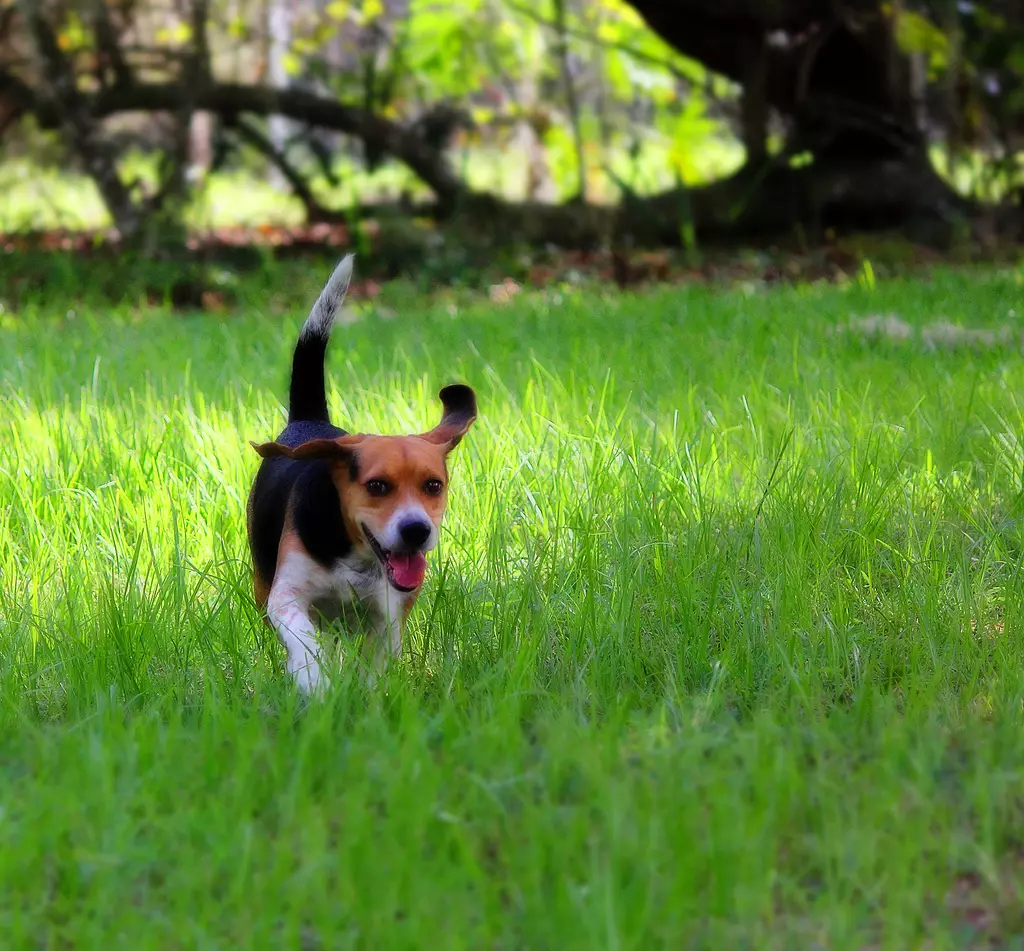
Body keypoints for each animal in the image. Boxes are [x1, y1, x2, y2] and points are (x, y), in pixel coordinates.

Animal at [247, 260, 475, 692]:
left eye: (433, 485)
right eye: (377, 486)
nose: (416, 530)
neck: (357, 557)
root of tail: (310, 422)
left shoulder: (387, 615)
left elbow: (376, 662)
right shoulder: (285, 597)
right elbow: (303, 639)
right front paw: (311, 677)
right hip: (263, 582)